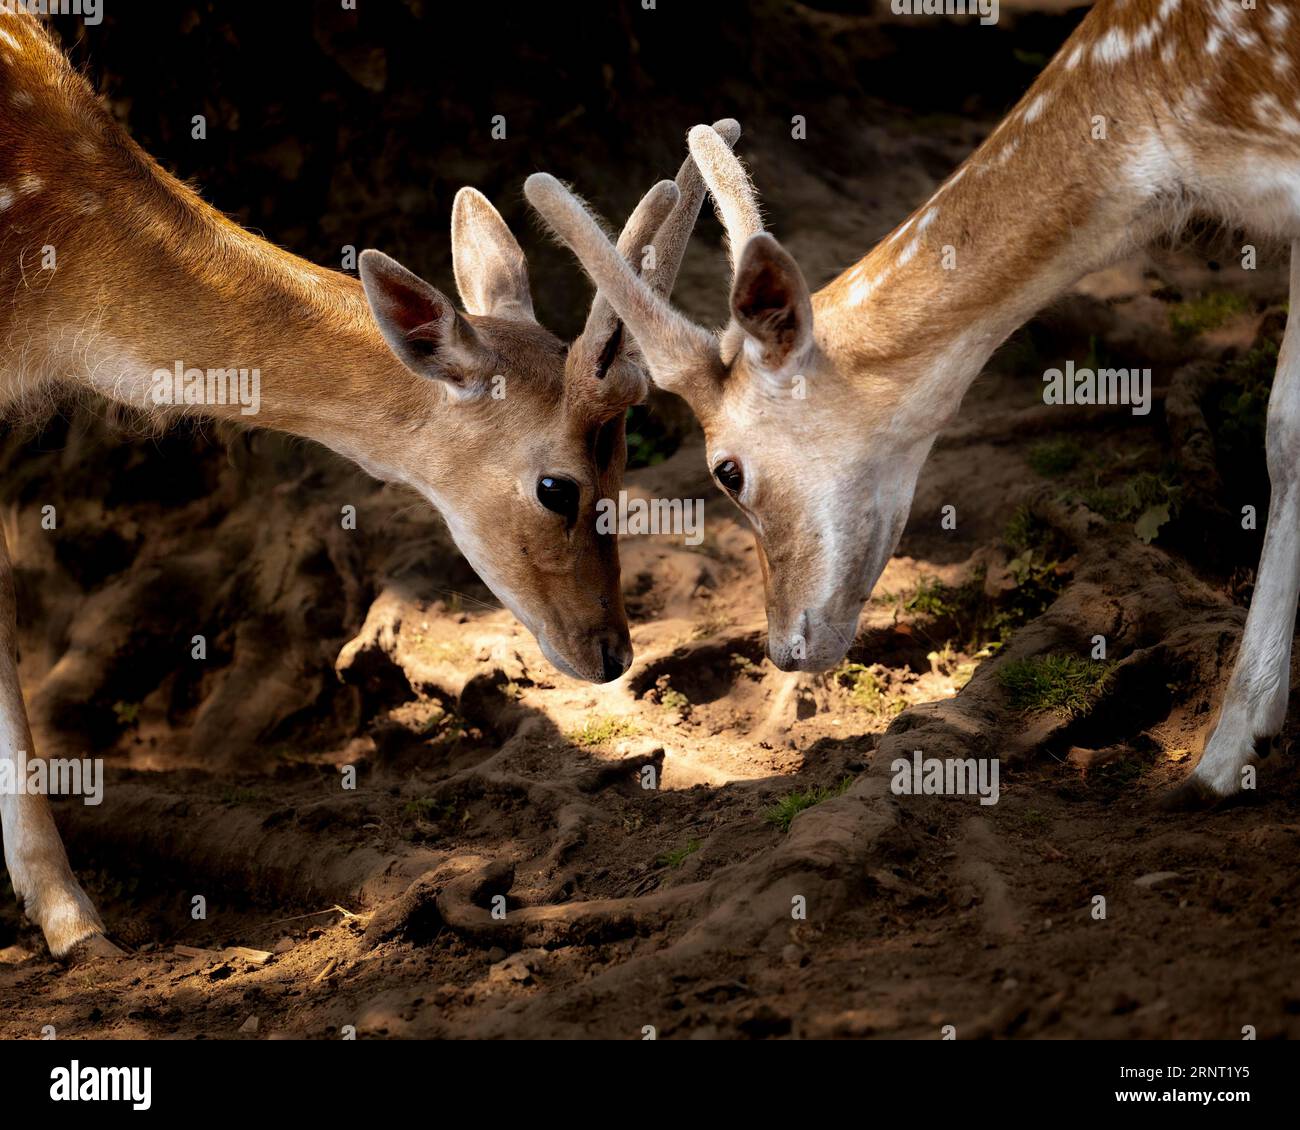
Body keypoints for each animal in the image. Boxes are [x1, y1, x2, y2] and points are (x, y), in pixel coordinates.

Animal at [527, 0, 1300, 802]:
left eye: (728, 472)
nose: (783, 647)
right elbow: (1283, 430)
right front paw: (1246, 740)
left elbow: (1285, 429)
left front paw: (1224, 754)